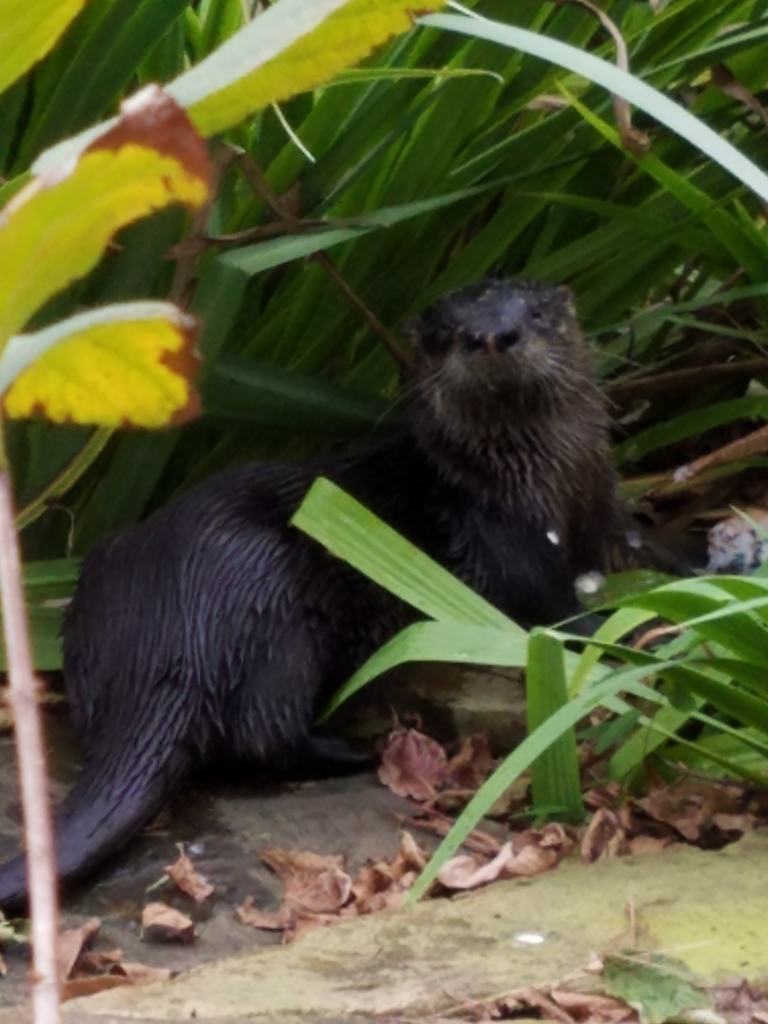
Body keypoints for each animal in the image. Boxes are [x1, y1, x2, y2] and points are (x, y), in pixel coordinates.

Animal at [0, 279, 625, 910]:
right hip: (276, 601)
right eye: (451, 331)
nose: (491, 335)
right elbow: (545, 604)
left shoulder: (601, 510)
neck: (542, 481)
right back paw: (359, 748)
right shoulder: (503, 536)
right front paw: (614, 628)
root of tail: (165, 637)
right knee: (262, 731)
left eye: (536, 312)